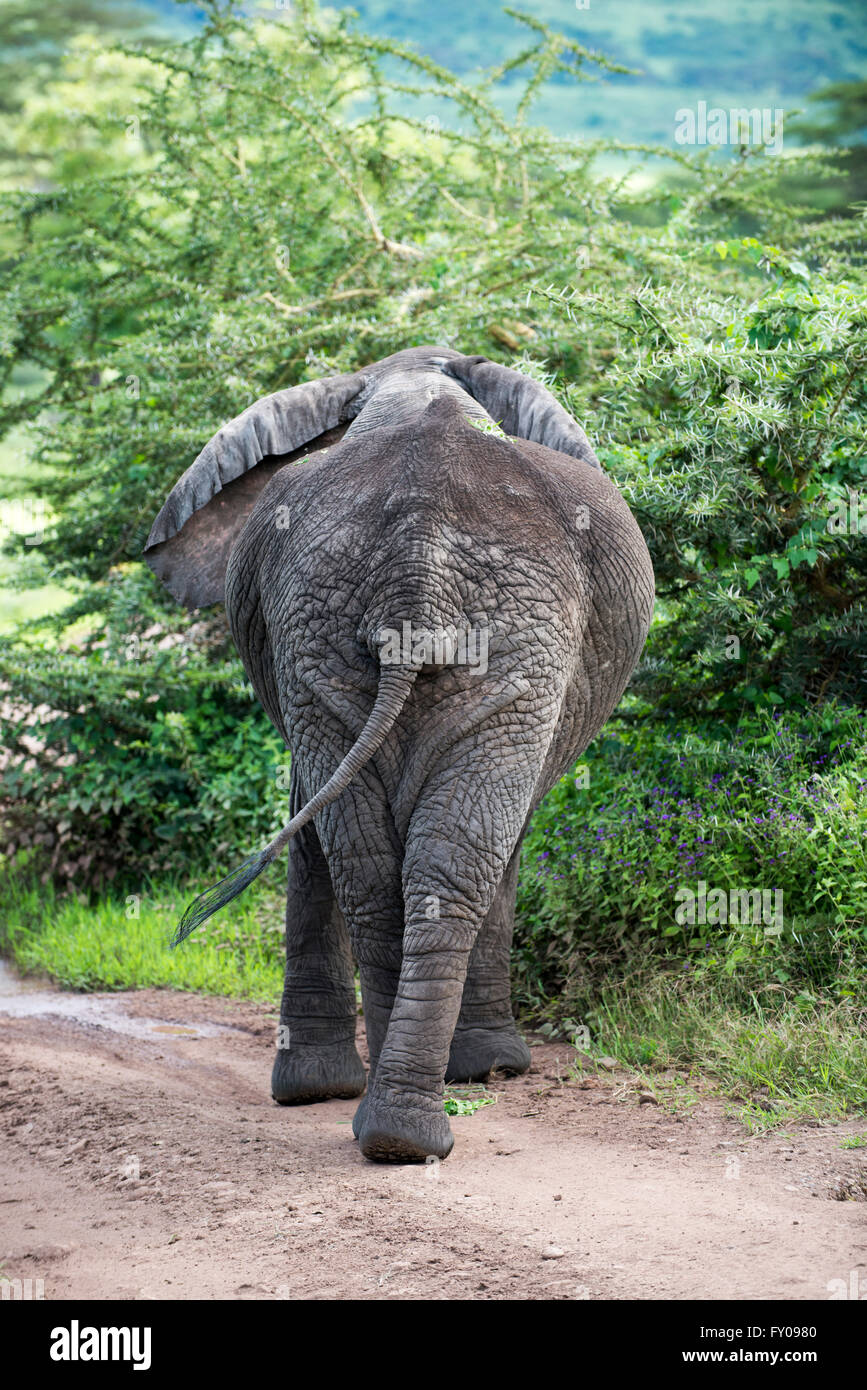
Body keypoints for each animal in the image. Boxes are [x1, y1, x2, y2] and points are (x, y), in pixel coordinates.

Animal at [144, 345, 654, 1163]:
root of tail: (420, 560)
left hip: (419, 642)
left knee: (392, 867)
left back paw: (393, 1130)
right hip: (473, 643)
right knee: (433, 860)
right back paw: (412, 1110)